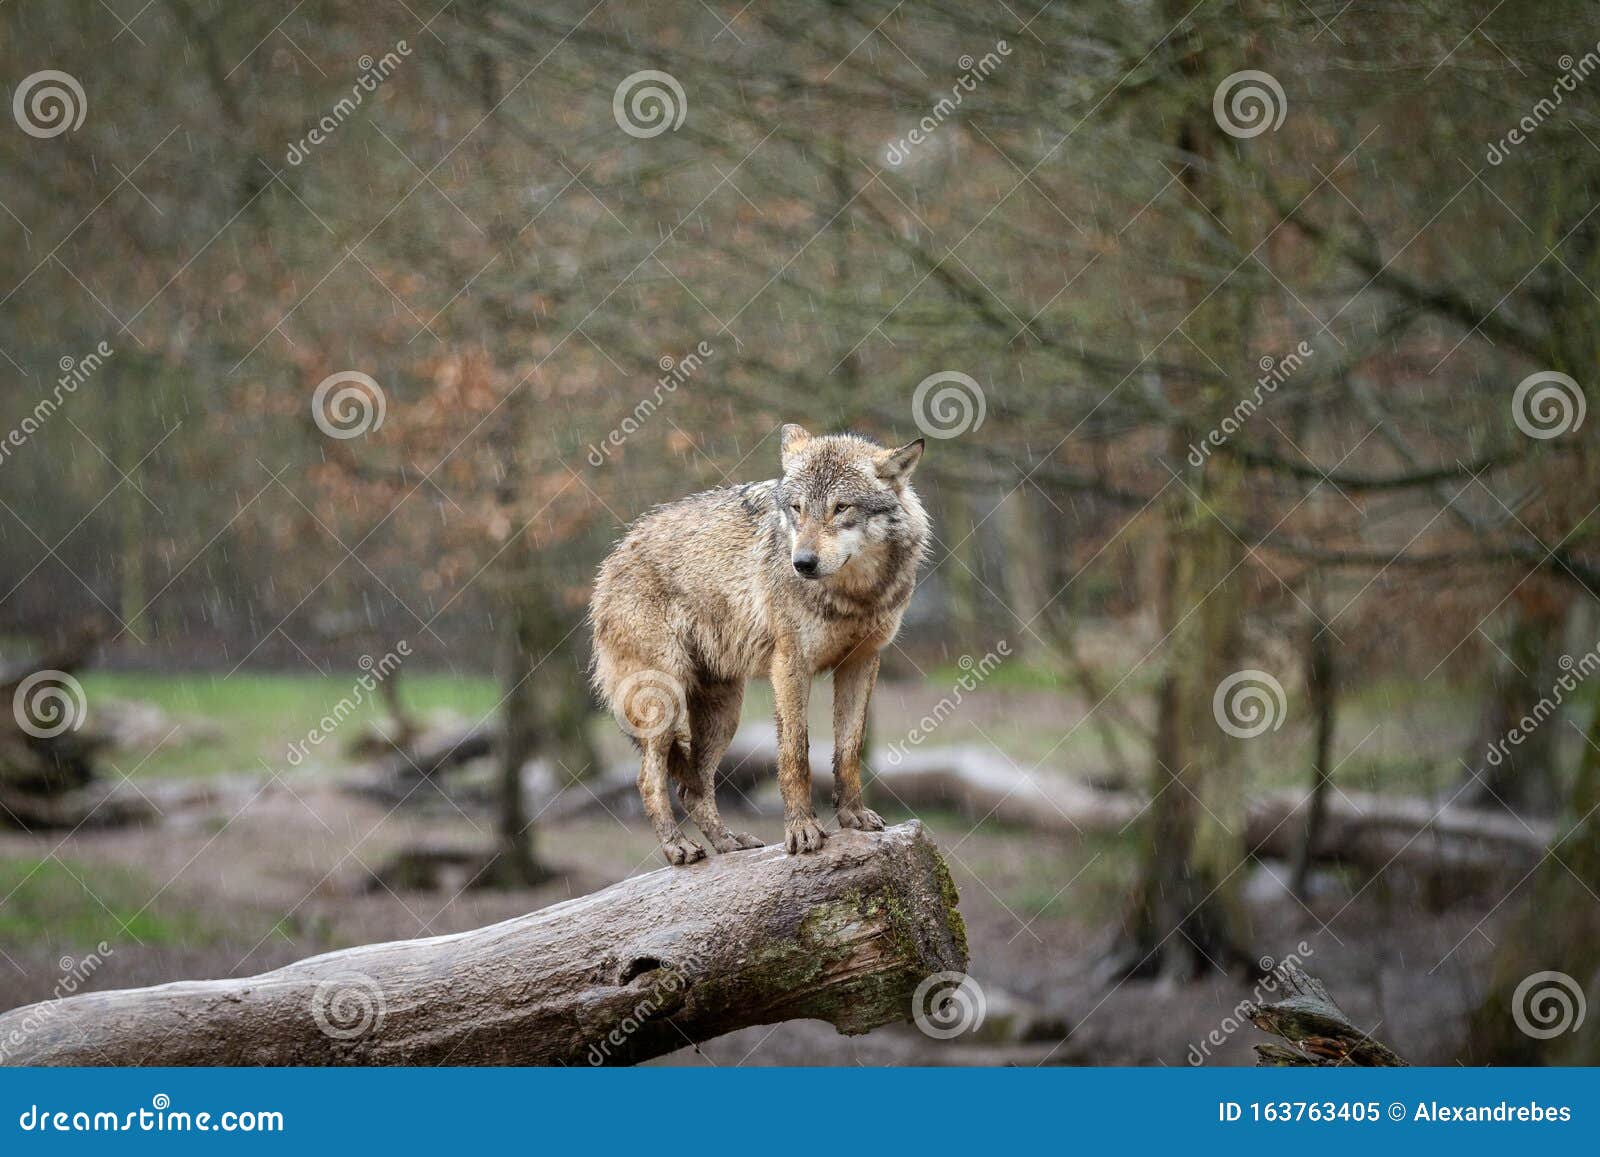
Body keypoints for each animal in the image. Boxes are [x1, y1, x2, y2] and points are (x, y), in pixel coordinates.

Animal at [589, 424, 928, 865]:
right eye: (797, 508)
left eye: (840, 508)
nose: (802, 563)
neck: (852, 597)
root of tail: (611, 559)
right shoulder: (789, 666)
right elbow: (795, 756)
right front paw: (802, 830)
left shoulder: (862, 661)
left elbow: (849, 750)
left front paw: (853, 817)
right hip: (664, 702)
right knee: (649, 779)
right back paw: (678, 847)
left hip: (724, 712)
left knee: (692, 787)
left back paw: (728, 843)